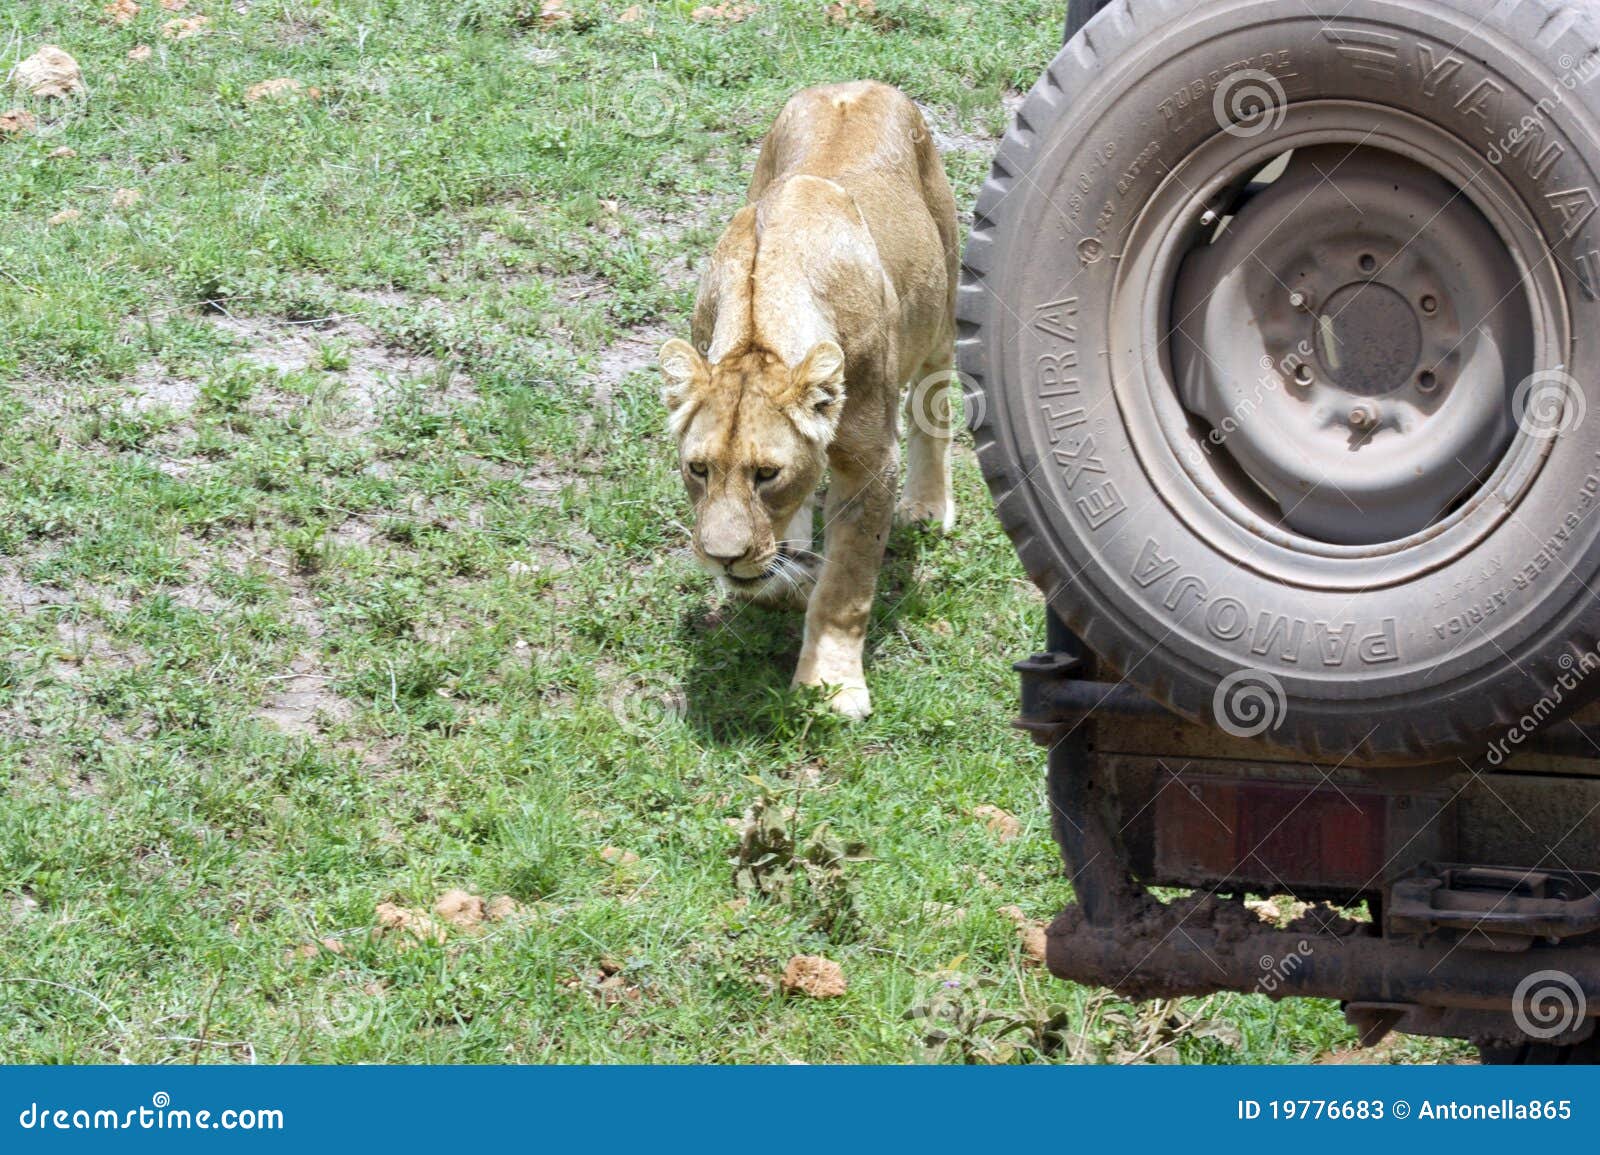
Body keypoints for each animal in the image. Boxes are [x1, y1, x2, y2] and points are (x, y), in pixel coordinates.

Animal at [659, 81, 959, 719]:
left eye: (766, 473)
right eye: (698, 469)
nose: (722, 557)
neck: (760, 323)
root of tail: (857, 84)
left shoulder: (871, 460)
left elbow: (847, 585)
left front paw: (833, 686)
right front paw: (785, 573)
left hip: (941, 303)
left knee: (936, 403)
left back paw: (927, 505)